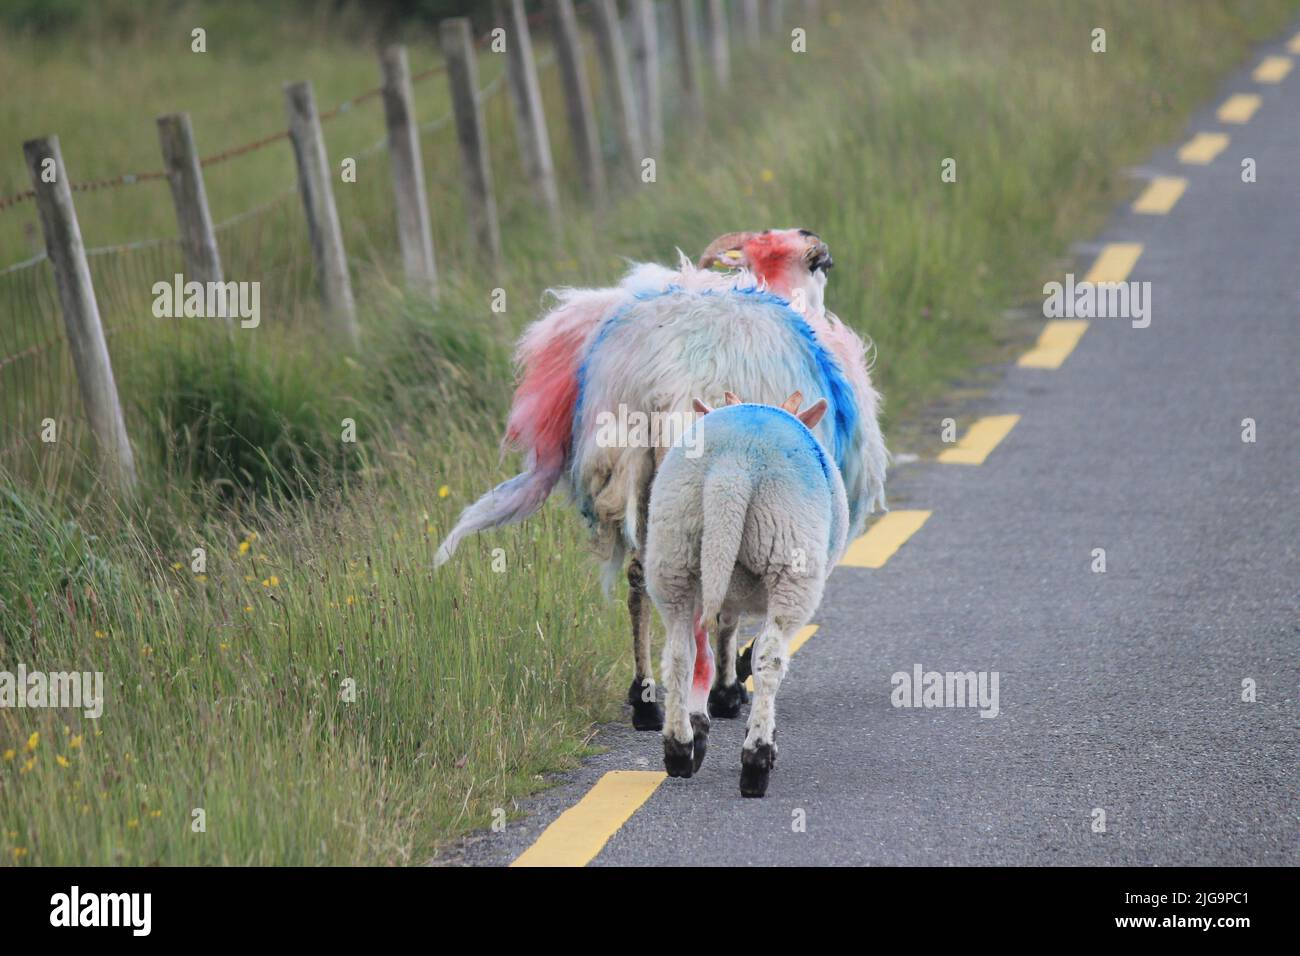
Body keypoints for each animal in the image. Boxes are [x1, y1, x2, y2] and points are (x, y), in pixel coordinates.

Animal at [645, 391, 849, 797]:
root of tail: (732, 468)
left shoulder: (719, 593)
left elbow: (714, 648)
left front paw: (702, 724)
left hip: (674, 551)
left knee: (679, 653)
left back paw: (679, 749)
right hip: (788, 558)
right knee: (769, 658)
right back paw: (756, 760)